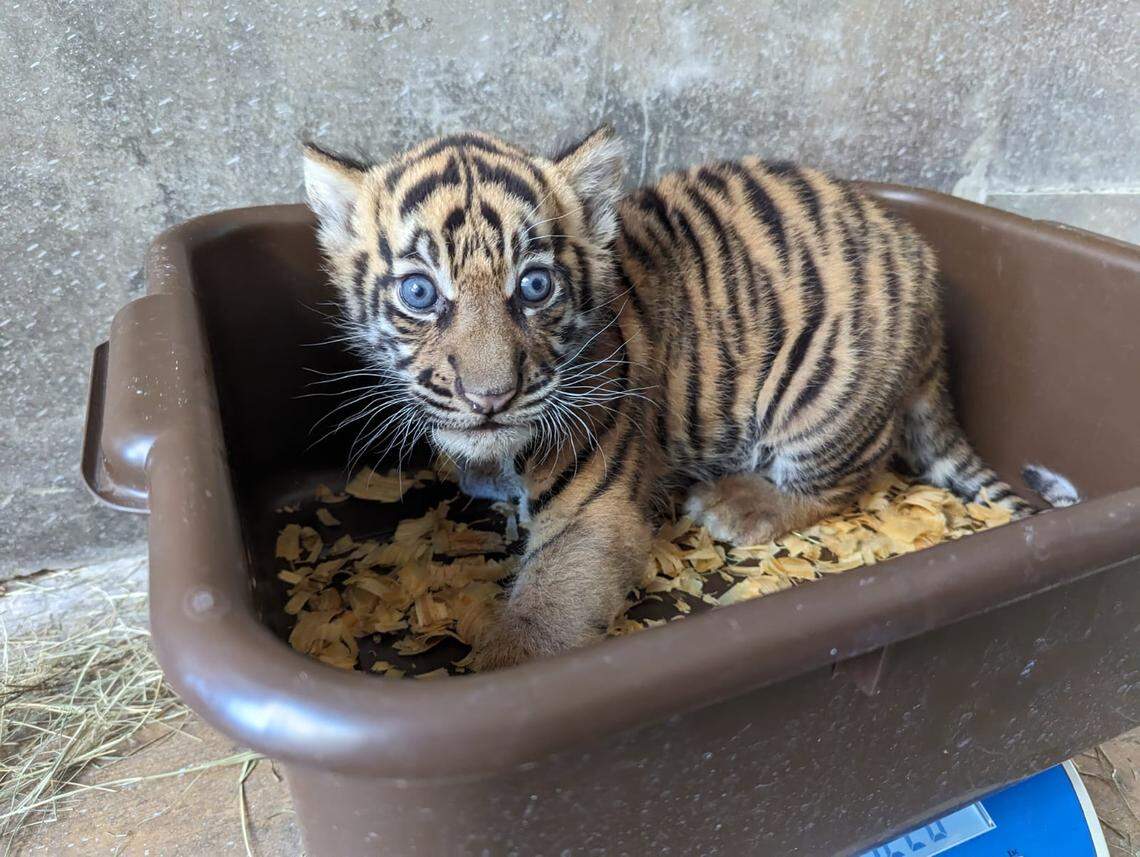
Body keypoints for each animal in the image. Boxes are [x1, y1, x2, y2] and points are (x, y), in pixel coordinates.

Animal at [302, 125, 1078, 670]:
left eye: (535, 286)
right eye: (420, 292)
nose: (490, 397)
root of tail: (922, 268)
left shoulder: (595, 514)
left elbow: (542, 619)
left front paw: (496, 678)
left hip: (820, 395)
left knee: (853, 476)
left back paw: (737, 503)